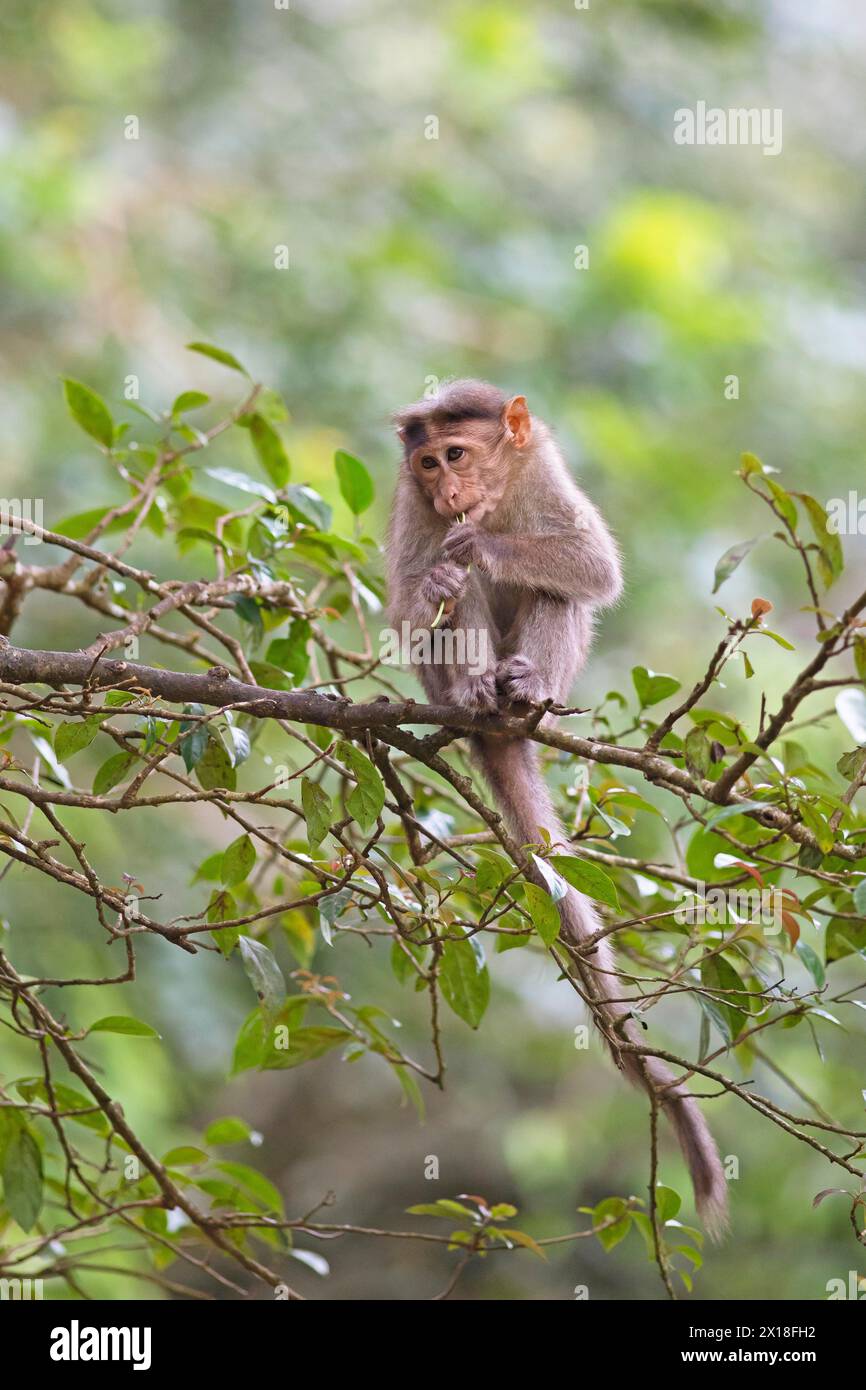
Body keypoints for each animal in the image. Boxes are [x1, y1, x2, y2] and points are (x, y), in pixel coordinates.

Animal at [387, 378, 728, 1238]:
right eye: (427, 464)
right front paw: (442, 581)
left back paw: (520, 688)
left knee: (559, 591)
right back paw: (475, 692)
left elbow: (590, 567)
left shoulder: (544, 471)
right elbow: (411, 607)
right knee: (457, 622)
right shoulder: (412, 512)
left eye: (458, 454)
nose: (448, 492)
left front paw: (484, 545)